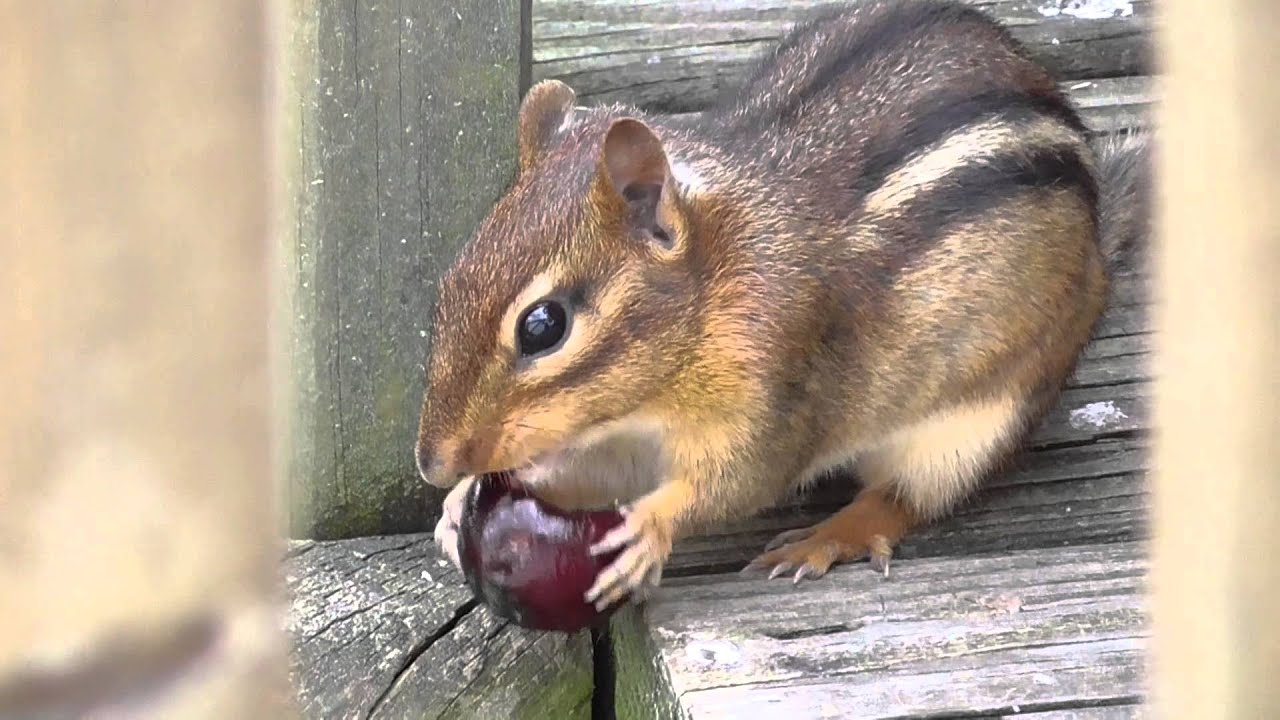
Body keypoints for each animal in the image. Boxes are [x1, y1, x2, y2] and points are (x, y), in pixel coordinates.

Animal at [415, 0, 1152, 610]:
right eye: (449, 284)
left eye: (543, 326)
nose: (433, 464)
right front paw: (457, 506)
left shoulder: (776, 381)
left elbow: (743, 480)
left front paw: (652, 523)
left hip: (982, 421)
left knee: (907, 497)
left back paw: (826, 537)